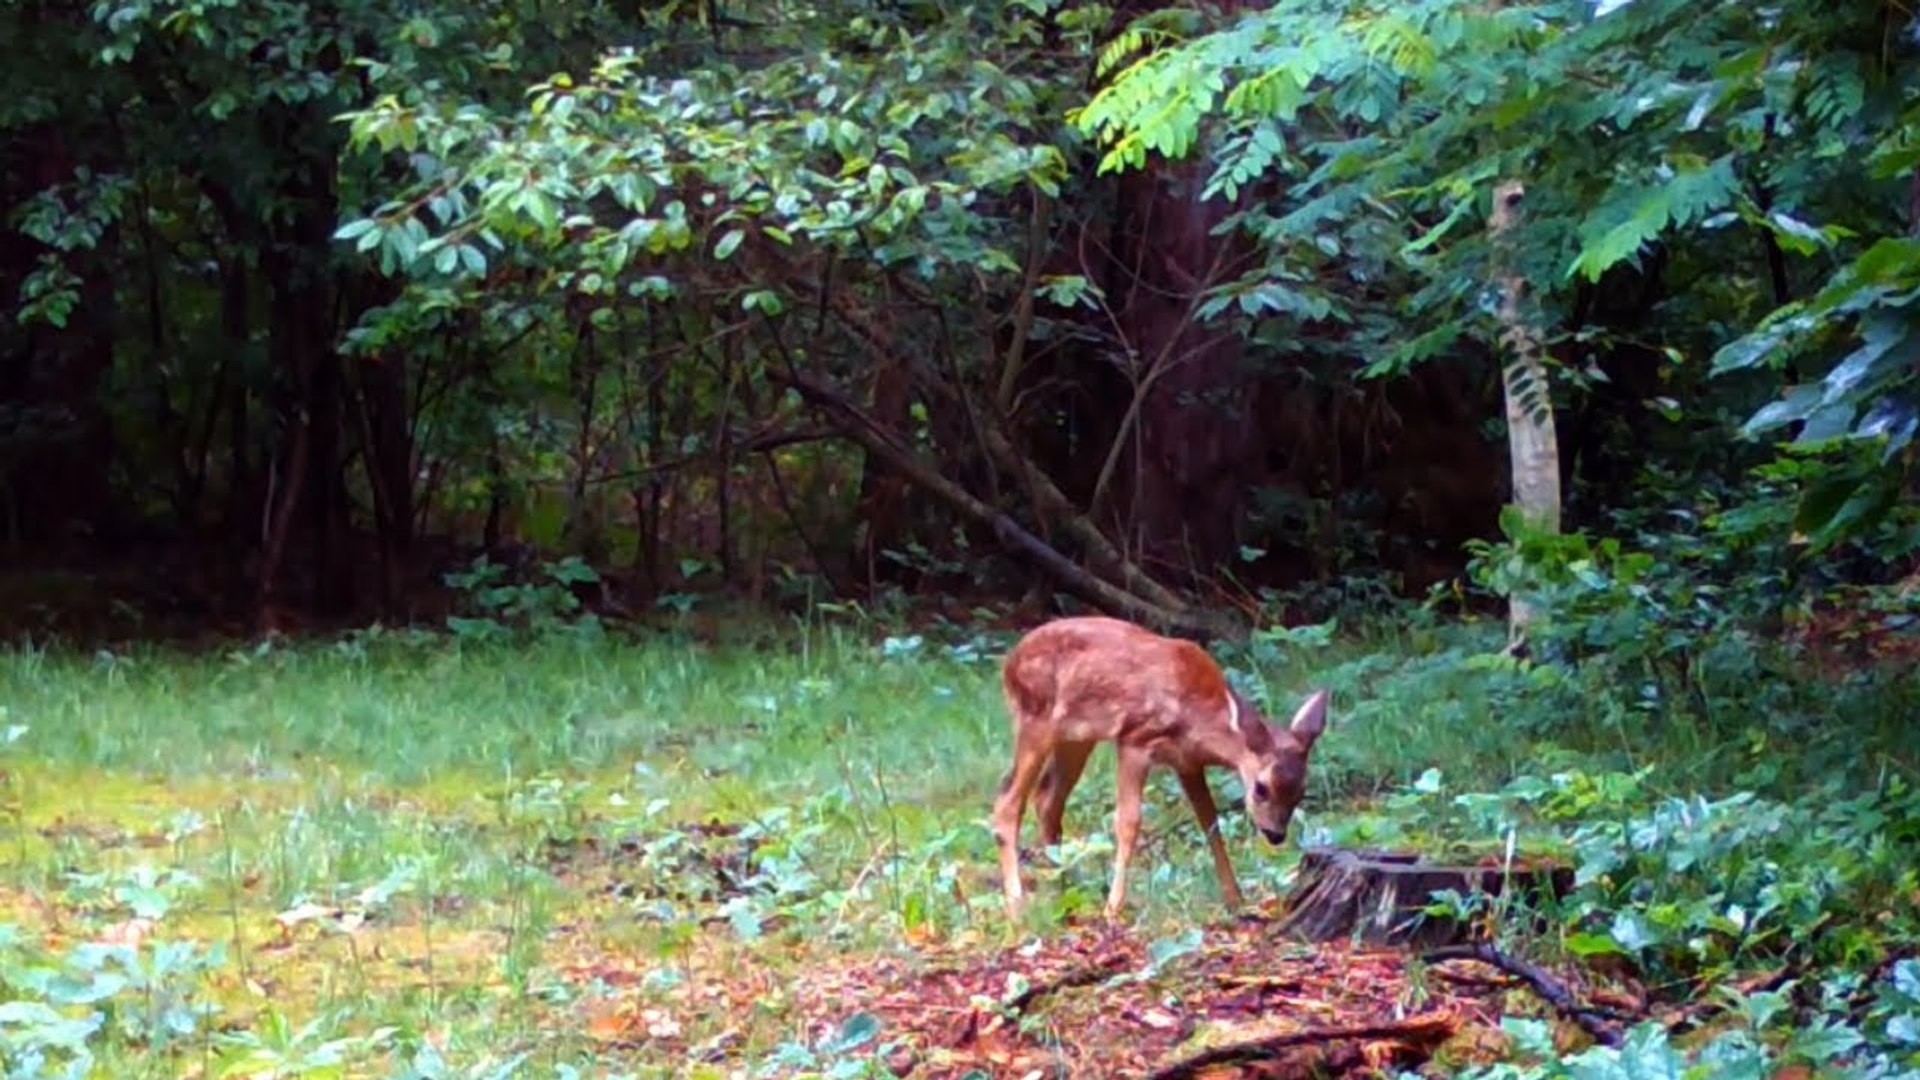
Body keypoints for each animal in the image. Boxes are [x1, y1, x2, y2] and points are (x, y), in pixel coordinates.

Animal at [991, 616, 1330, 921]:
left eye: (1301, 791)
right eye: (1261, 788)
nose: (1275, 834)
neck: (1196, 714)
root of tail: (1009, 664)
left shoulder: (1188, 762)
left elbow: (1210, 823)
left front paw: (1236, 900)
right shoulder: (1135, 741)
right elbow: (1129, 822)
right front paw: (1113, 909)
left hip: (1076, 737)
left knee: (1047, 798)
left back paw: (1064, 890)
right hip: (1036, 719)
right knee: (1007, 800)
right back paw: (1018, 906)